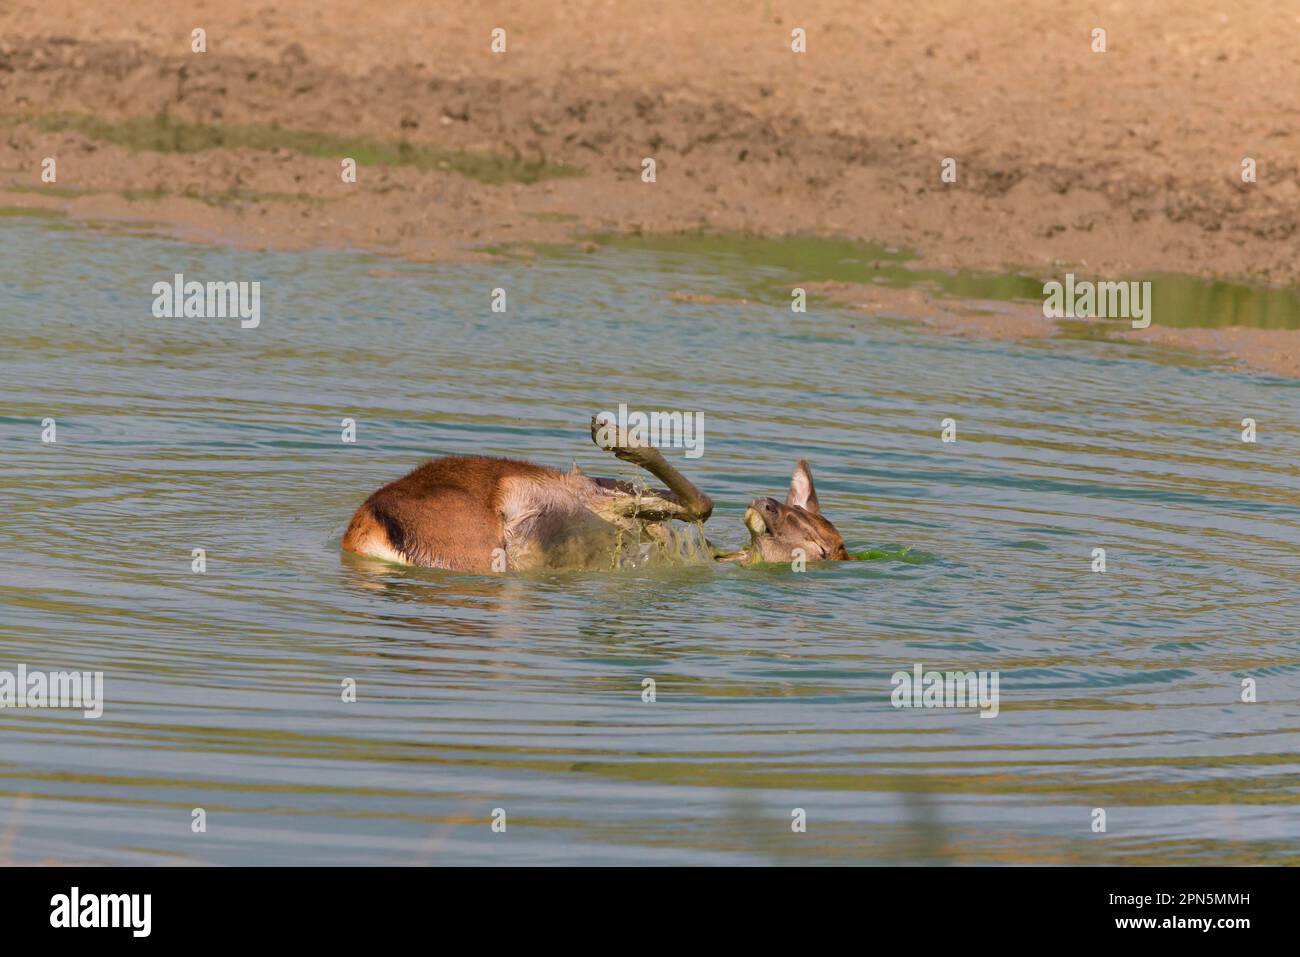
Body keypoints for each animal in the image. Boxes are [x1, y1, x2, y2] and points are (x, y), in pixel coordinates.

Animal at [341, 414, 851, 572]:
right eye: (794, 511)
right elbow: (697, 505)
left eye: (817, 539)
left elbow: (697, 506)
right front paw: (618, 438)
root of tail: (363, 529)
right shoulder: (590, 489)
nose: (766, 502)